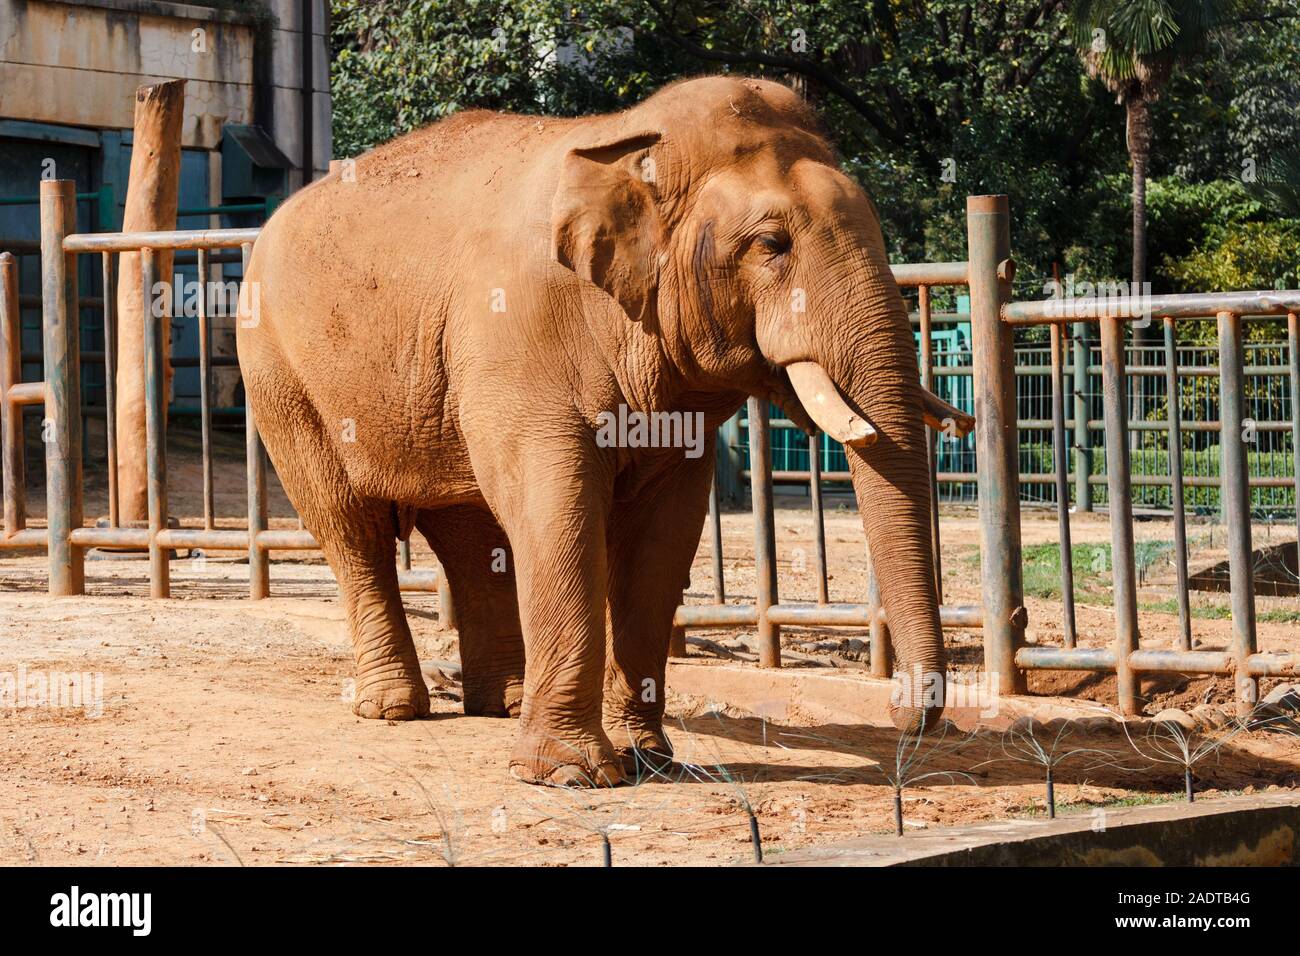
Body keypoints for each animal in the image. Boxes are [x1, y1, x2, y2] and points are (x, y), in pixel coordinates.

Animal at [237, 75, 952, 787]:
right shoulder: (518, 335)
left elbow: (664, 534)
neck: (630, 144)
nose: (902, 716)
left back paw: (503, 703)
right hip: (281, 380)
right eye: (773, 244)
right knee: (351, 528)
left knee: (470, 532)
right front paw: (570, 774)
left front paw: (650, 760)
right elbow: (557, 509)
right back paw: (393, 708)